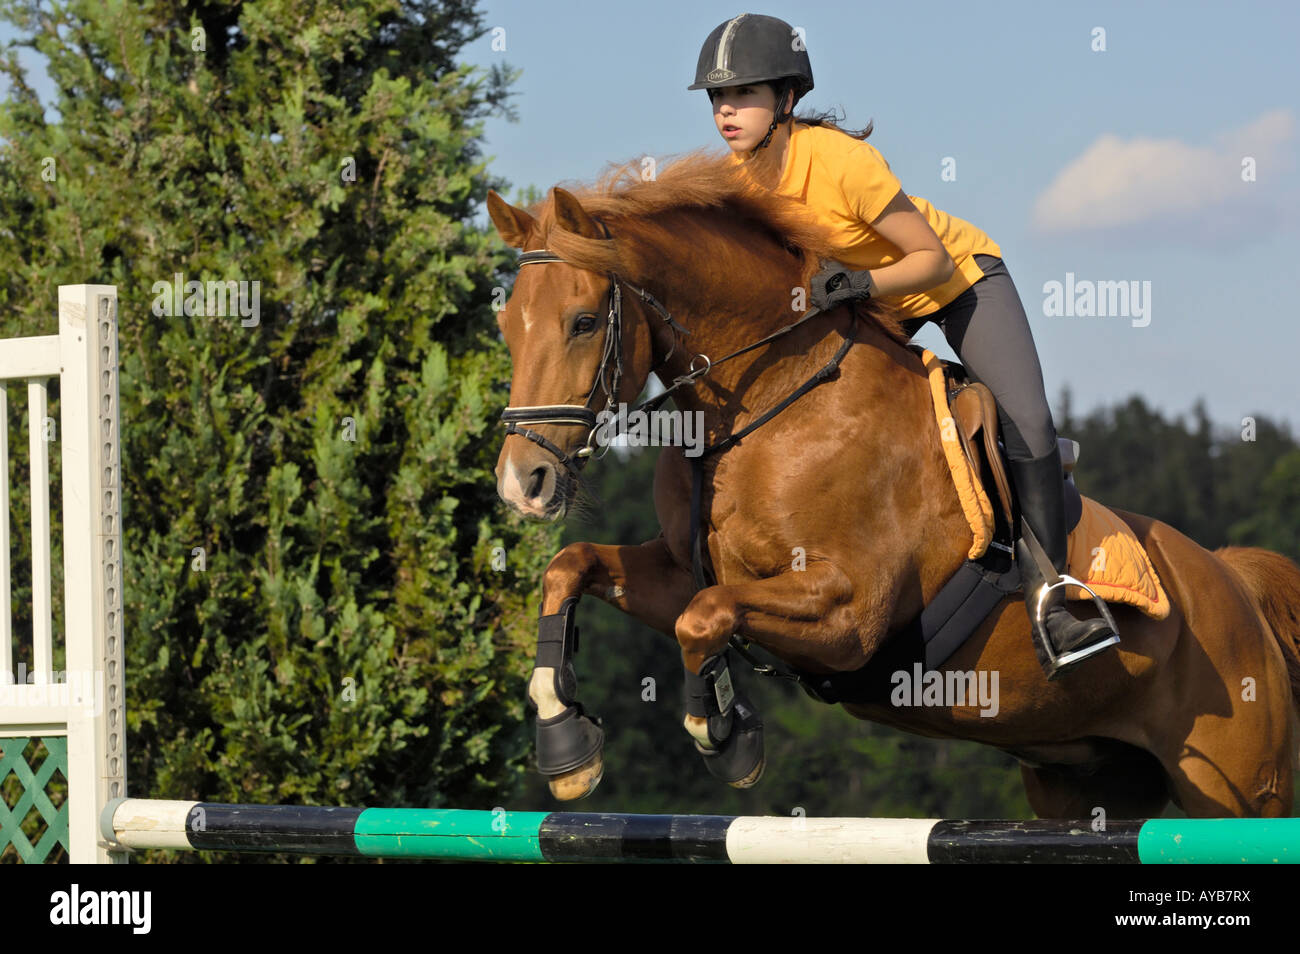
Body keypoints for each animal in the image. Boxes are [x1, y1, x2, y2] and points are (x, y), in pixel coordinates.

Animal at [487, 150, 1300, 818]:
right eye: (505, 326)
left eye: (582, 321)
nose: (522, 482)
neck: (768, 403)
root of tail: (1232, 582)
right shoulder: (683, 570)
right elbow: (576, 568)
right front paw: (566, 743)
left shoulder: (851, 614)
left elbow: (704, 617)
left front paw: (726, 735)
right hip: (1082, 778)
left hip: (1238, 787)